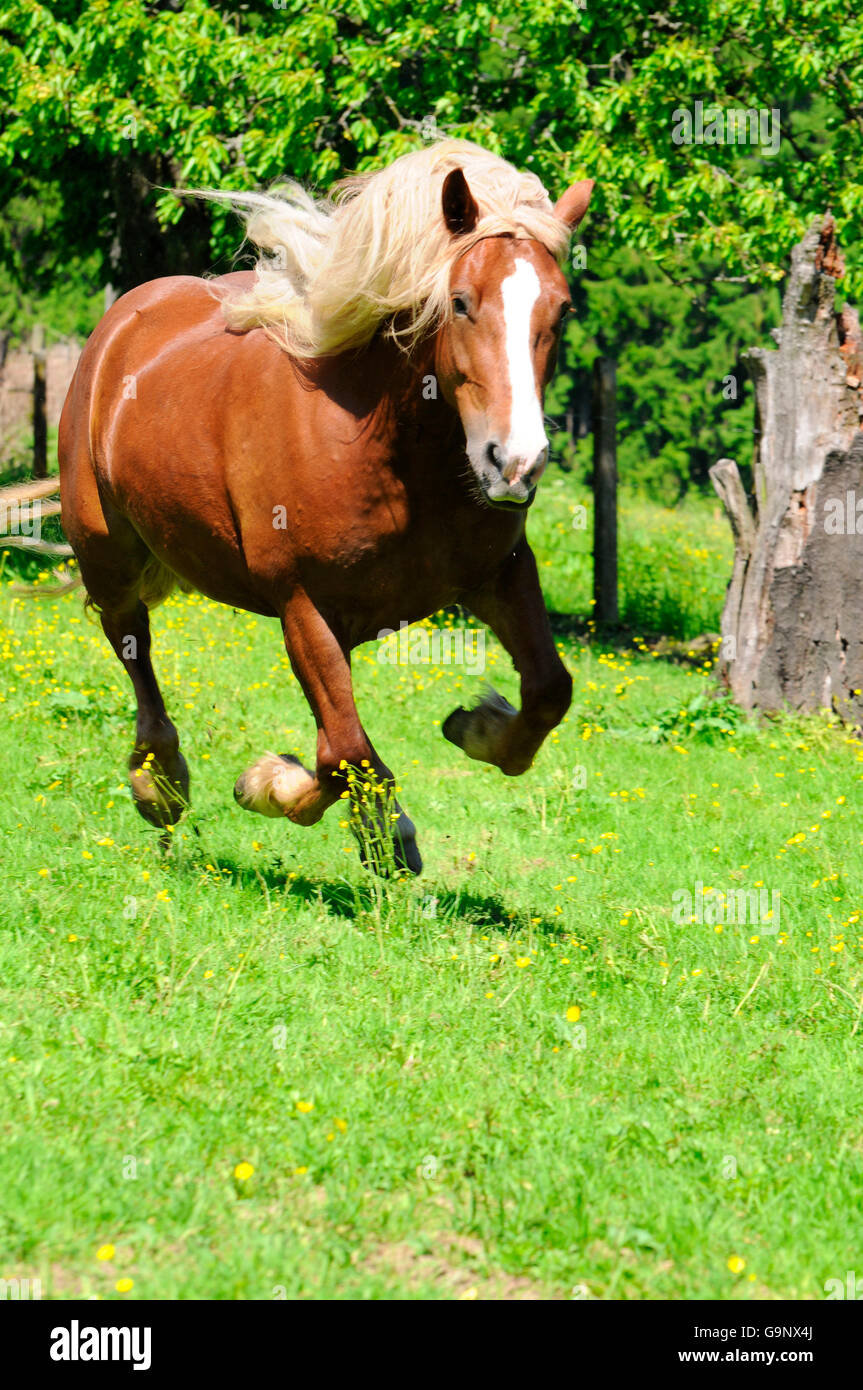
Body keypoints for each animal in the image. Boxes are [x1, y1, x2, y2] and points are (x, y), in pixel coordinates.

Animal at [58, 140, 593, 874]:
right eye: (460, 302)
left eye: (561, 310)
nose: (515, 463)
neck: (394, 458)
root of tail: (126, 318)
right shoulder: (301, 605)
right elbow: (344, 751)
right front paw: (307, 801)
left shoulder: (499, 574)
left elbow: (546, 690)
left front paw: (476, 727)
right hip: (106, 555)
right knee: (132, 644)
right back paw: (159, 784)